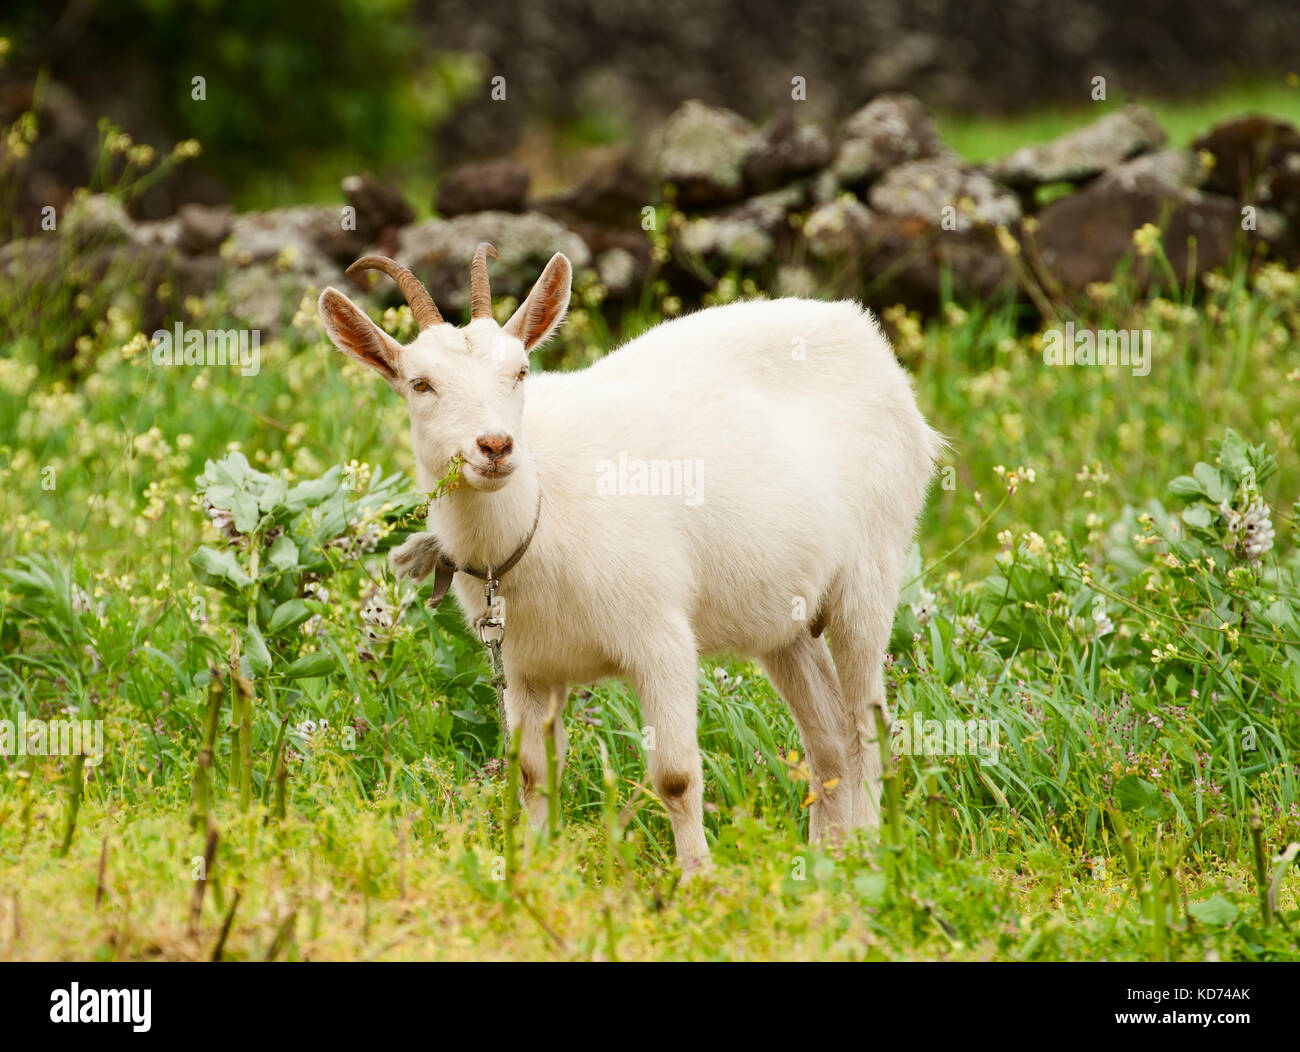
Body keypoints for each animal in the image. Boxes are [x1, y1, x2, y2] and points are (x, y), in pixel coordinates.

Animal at [318, 244, 942, 874]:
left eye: (520, 372)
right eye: (420, 383)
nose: (494, 447)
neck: (539, 516)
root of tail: (860, 330)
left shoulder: (659, 636)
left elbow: (675, 776)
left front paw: (697, 879)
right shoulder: (526, 667)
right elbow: (534, 773)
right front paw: (537, 871)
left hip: (870, 570)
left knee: (866, 723)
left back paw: (870, 853)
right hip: (786, 619)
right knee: (829, 736)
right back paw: (825, 864)